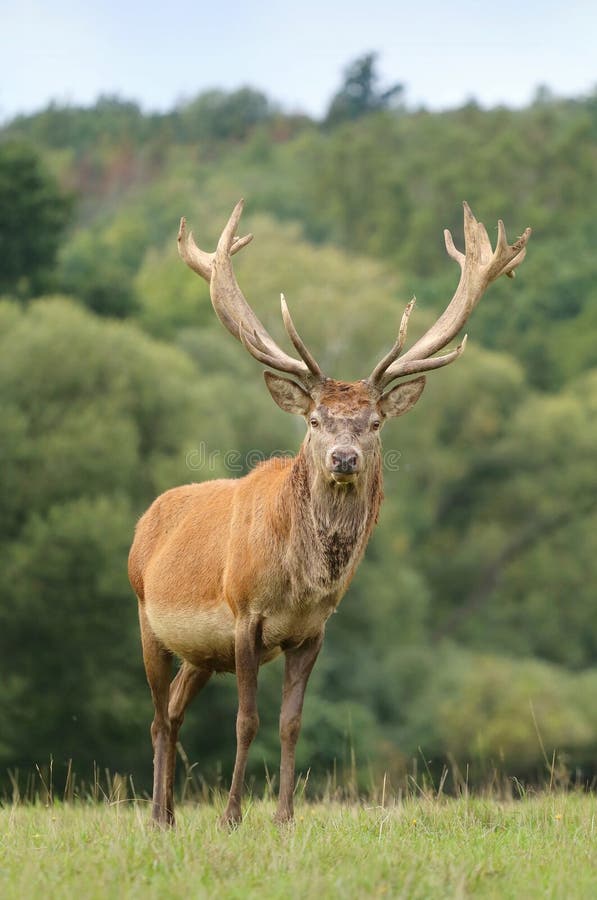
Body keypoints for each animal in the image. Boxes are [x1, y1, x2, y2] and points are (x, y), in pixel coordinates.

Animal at [128, 200, 531, 828]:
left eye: (374, 421)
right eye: (316, 419)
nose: (344, 457)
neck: (299, 584)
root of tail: (145, 523)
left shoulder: (313, 631)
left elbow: (290, 724)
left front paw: (285, 817)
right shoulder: (244, 614)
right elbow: (247, 721)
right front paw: (232, 816)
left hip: (200, 653)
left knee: (170, 711)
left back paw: (168, 812)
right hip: (149, 619)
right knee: (155, 717)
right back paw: (157, 816)